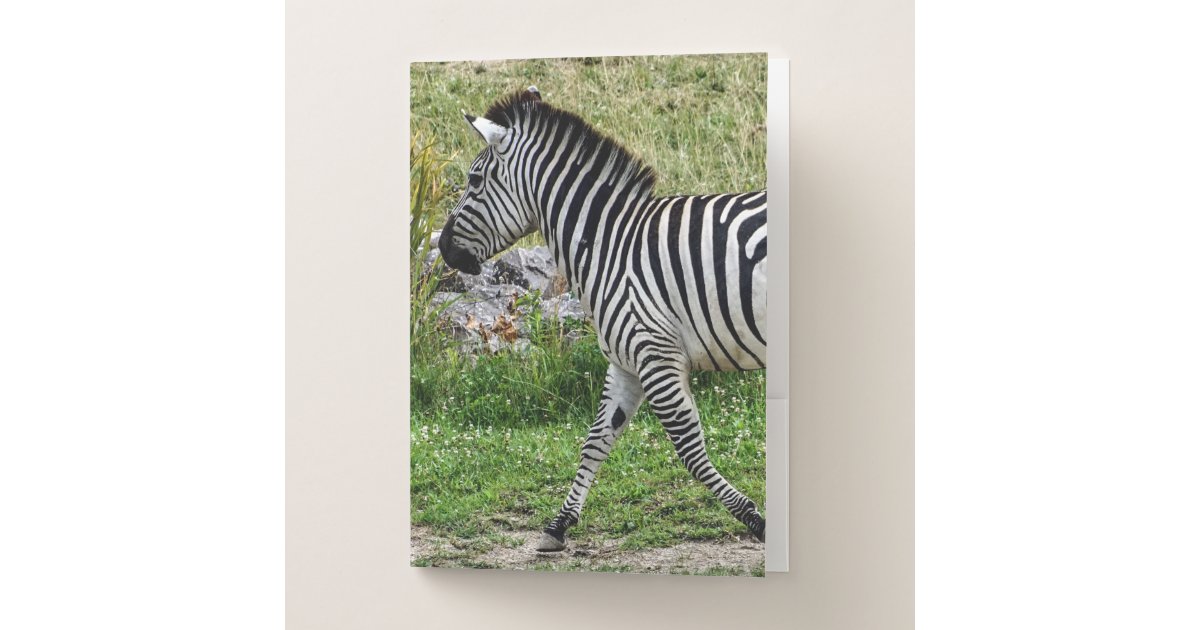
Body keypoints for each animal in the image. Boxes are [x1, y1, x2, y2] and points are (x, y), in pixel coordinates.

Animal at [437, 86, 768, 552]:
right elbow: (596, 439)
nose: (443, 248)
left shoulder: (655, 353)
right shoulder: (626, 361)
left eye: (474, 181)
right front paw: (558, 525)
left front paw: (755, 519)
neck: (610, 243)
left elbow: (689, 449)